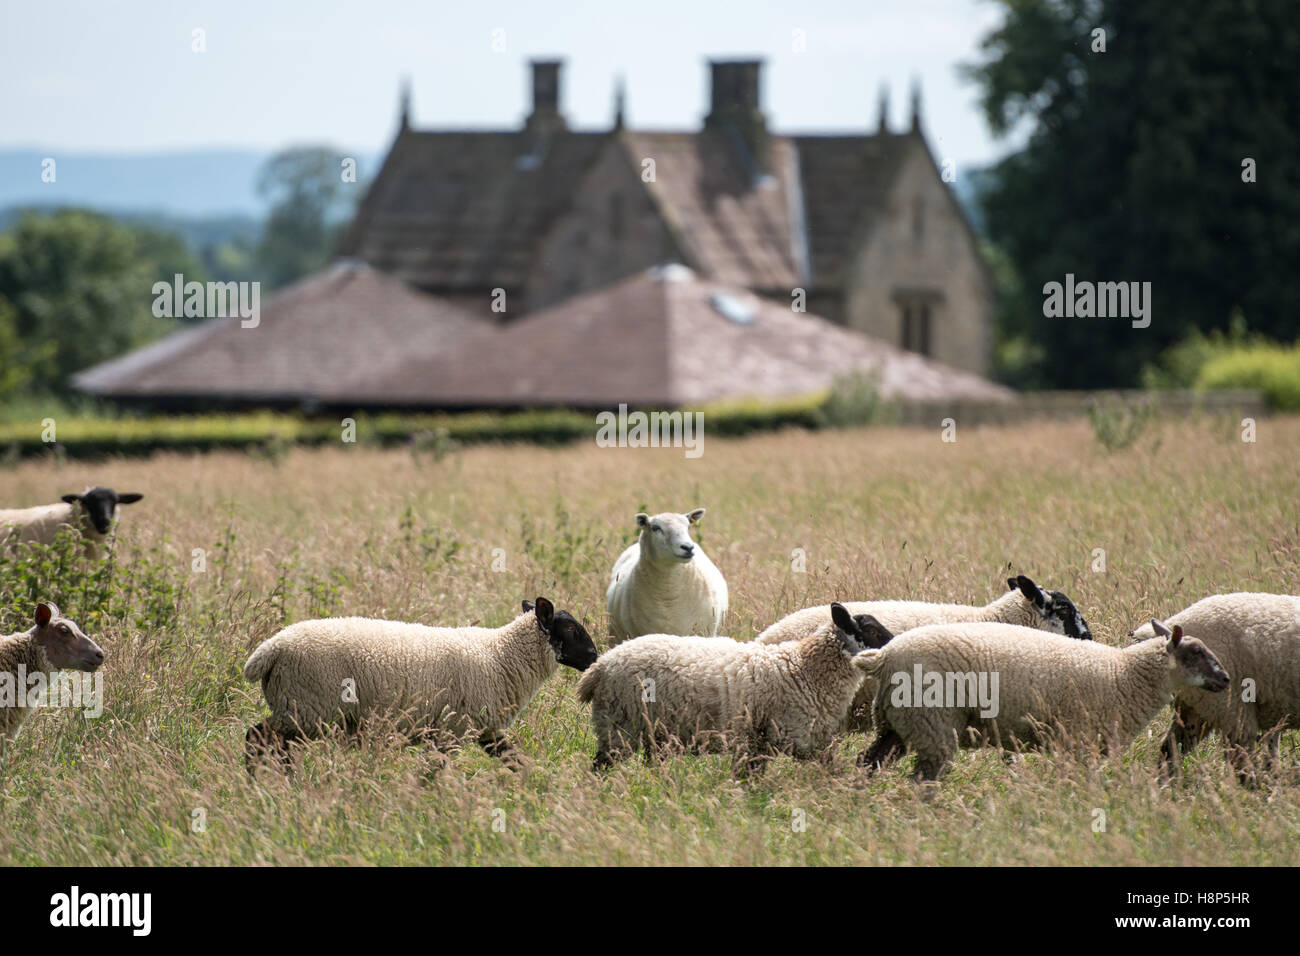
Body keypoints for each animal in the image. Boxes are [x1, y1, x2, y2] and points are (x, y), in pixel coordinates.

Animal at [242, 597, 597, 770]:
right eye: (572, 630)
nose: (595, 657)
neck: (501, 656)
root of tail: (269, 650)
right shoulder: (453, 729)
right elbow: (433, 773)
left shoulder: (483, 729)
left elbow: (516, 762)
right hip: (306, 710)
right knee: (259, 739)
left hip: (296, 710)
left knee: (264, 742)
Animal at [576, 602, 891, 773]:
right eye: (872, 630)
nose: (896, 644)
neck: (803, 668)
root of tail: (600, 667)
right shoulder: (792, 737)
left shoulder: (759, 743)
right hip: (620, 725)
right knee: (601, 766)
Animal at [854, 618, 1228, 782]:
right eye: (1196, 652)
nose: (1225, 679)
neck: (1124, 675)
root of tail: (883, 657)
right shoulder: (1079, 739)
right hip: (931, 722)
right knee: (924, 778)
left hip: (898, 722)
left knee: (868, 761)